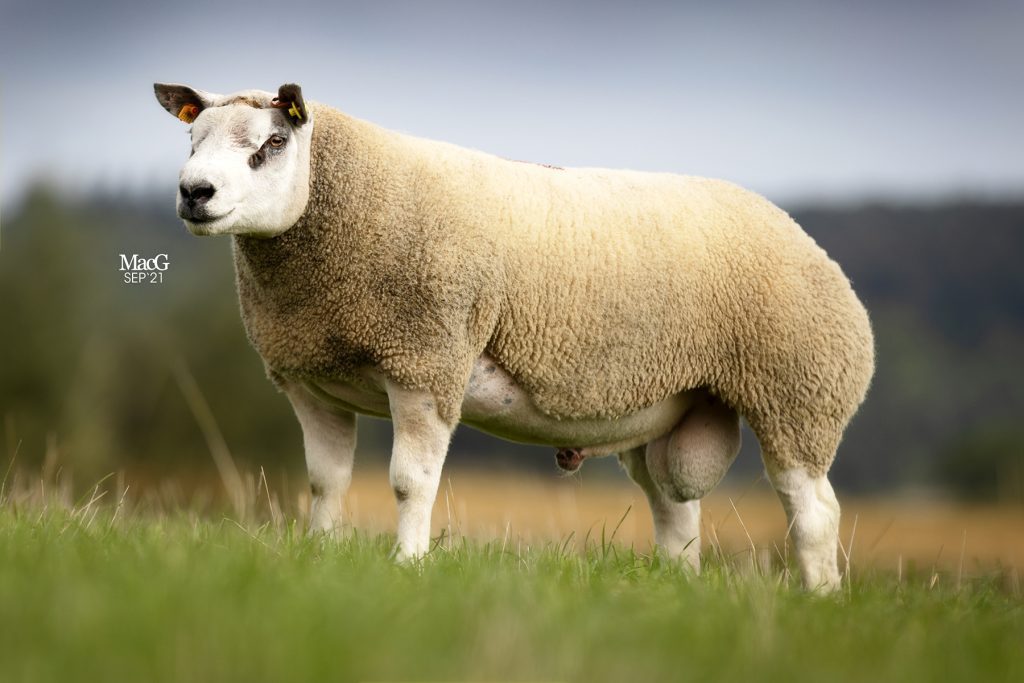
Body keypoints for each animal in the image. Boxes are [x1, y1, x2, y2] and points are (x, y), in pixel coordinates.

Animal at [154, 81, 875, 591]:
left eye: (273, 143)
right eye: (192, 141)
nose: (195, 192)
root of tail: (802, 234)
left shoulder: (427, 361)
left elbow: (409, 483)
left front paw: (407, 567)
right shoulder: (311, 380)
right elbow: (324, 483)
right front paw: (320, 557)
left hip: (798, 394)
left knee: (815, 514)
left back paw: (821, 600)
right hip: (668, 409)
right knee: (676, 513)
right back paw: (678, 591)